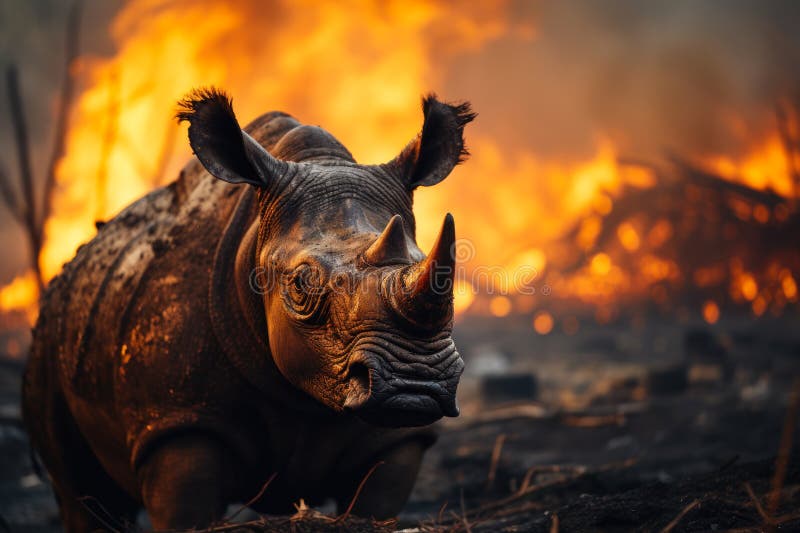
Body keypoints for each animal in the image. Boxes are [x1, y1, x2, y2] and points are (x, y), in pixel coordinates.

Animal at [22, 88, 472, 530]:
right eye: (301, 285)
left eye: (441, 277)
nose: (415, 383)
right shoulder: (178, 421)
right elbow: (184, 508)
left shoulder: (396, 439)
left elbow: (377, 504)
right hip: (49, 335)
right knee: (80, 493)